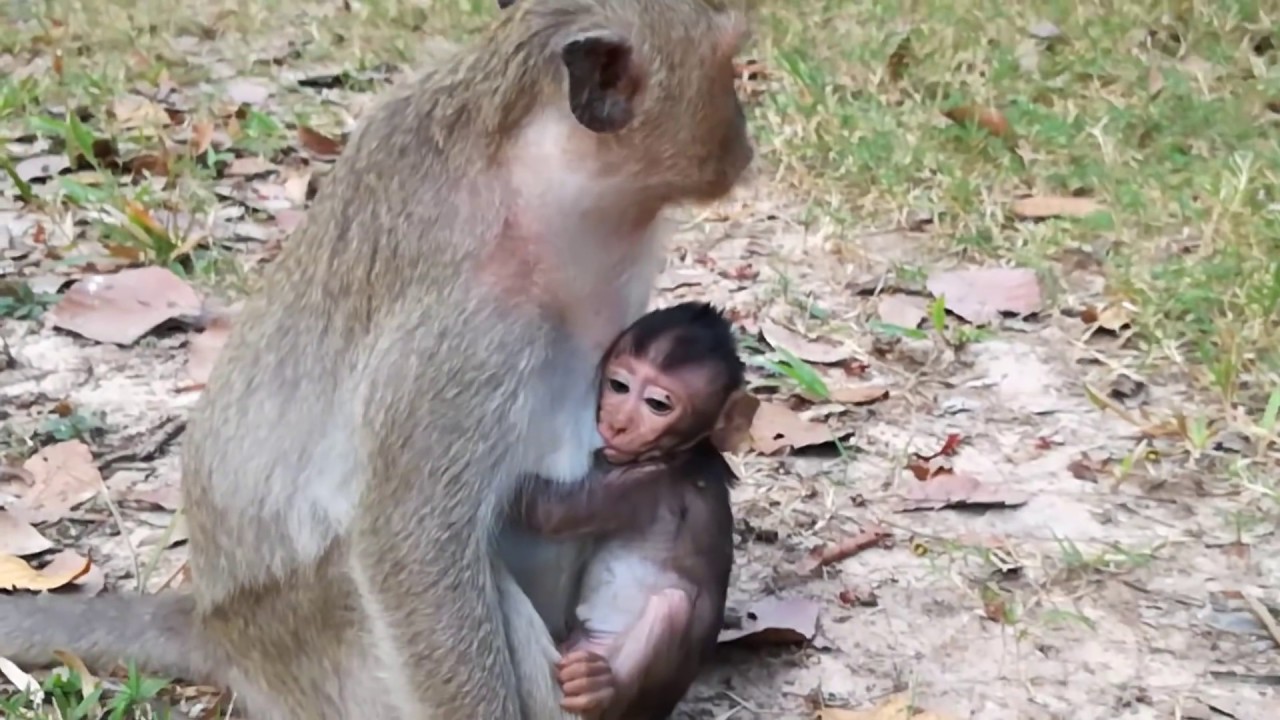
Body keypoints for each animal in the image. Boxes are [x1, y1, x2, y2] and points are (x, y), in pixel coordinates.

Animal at [507, 302, 759, 719]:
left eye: (658, 404)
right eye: (618, 385)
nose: (617, 423)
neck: (686, 451)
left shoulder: (646, 485)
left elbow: (548, 512)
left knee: (673, 606)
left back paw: (602, 689)